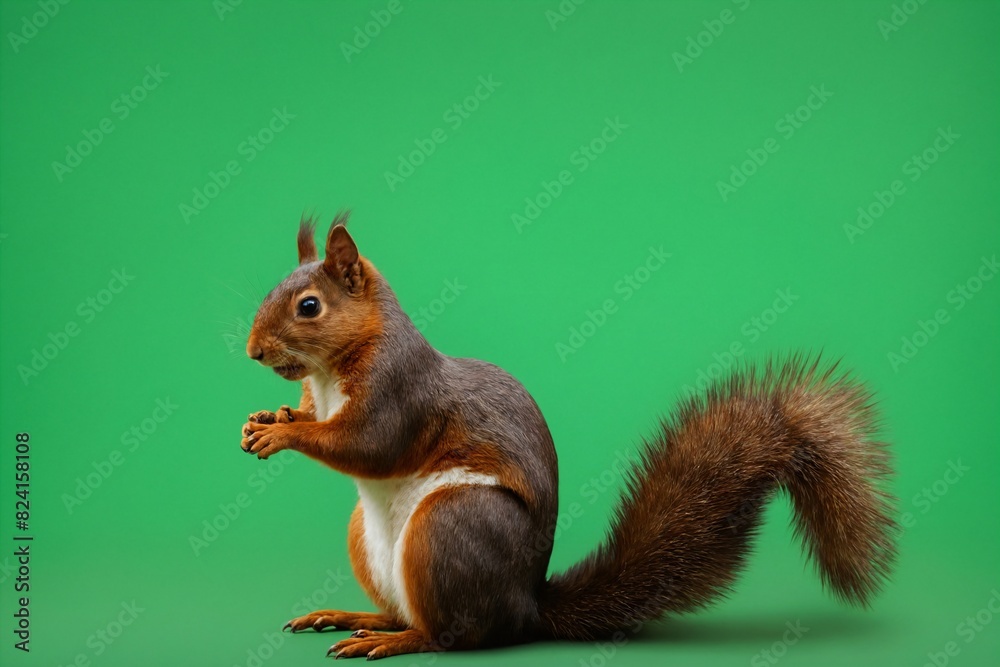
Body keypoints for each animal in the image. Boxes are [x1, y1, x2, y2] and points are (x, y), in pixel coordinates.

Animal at [241, 212, 897, 661]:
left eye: (308, 306)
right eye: (271, 290)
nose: (252, 352)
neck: (328, 374)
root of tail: (526, 607)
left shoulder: (398, 394)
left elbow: (368, 446)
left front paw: (285, 437)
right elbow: (311, 417)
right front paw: (271, 419)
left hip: (449, 526)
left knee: (449, 634)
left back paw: (392, 641)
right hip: (372, 541)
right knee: (402, 611)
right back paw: (354, 617)